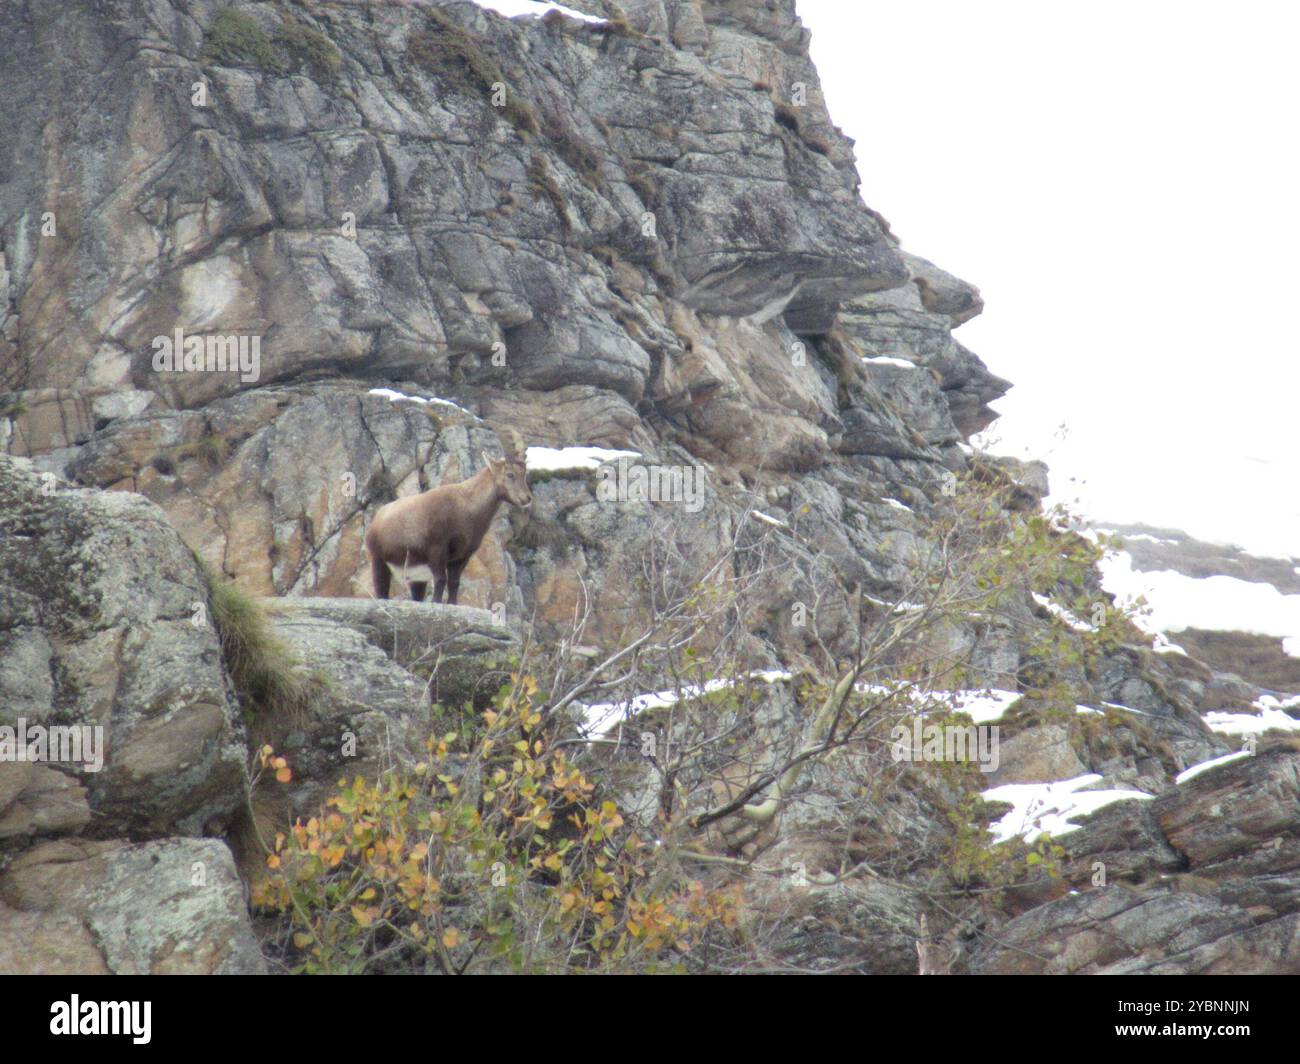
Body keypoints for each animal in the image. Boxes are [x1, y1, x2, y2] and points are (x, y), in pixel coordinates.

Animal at [364, 427, 532, 605]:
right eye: (510, 474)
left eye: (524, 474)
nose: (528, 498)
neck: (466, 508)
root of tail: (377, 518)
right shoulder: (437, 549)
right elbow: (441, 579)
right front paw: (437, 602)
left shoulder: (462, 556)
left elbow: (454, 582)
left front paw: (452, 603)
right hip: (378, 561)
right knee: (381, 590)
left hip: (415, 577)